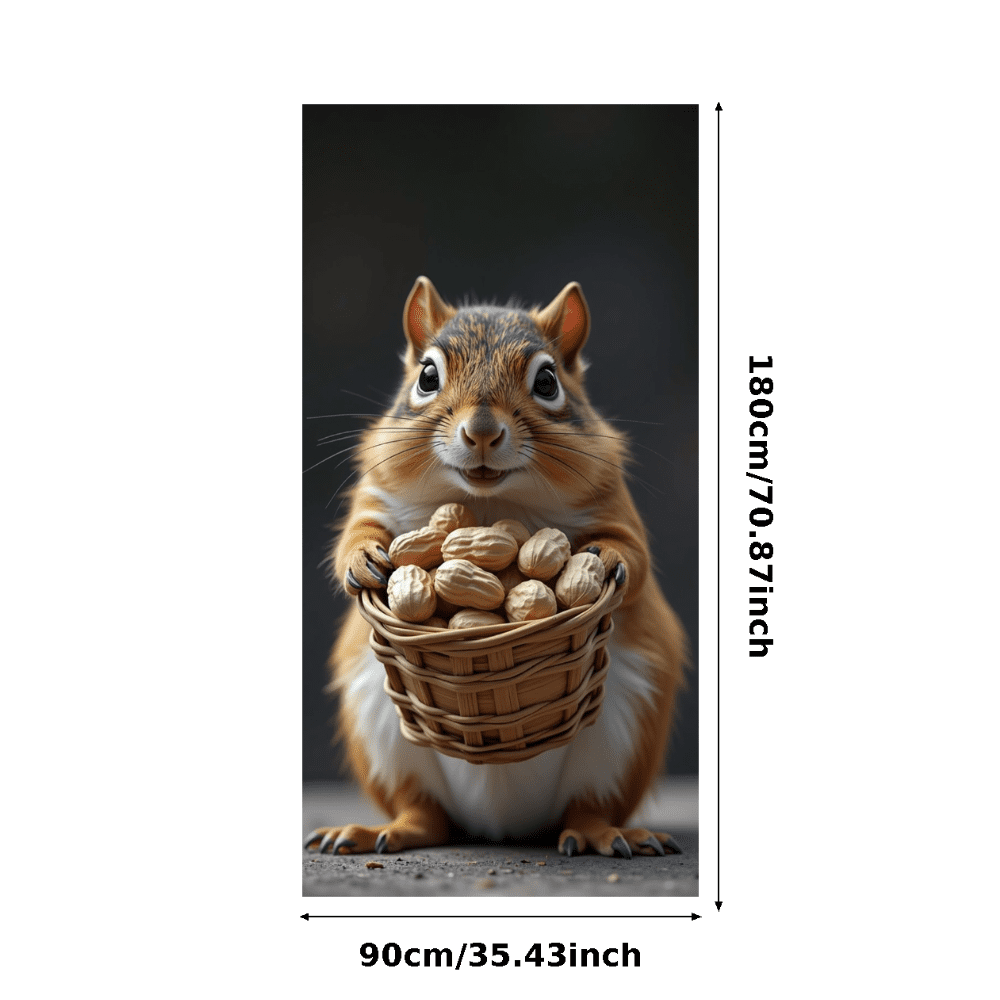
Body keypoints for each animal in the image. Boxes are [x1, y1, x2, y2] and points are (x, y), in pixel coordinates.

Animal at [304, 276, 687, 858]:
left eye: (548, 382)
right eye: (427, 376)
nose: (481, 431)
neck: (485, 504)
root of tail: (503, 825)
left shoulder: (613, 503)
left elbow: (633, 554)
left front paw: (606, 561)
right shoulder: (375, 496)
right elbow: (354, 537)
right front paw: (364, 560)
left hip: (625, 739)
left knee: (588, 807)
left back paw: (608, 834)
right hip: (383, 735)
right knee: (425, 815)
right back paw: (377, 832)